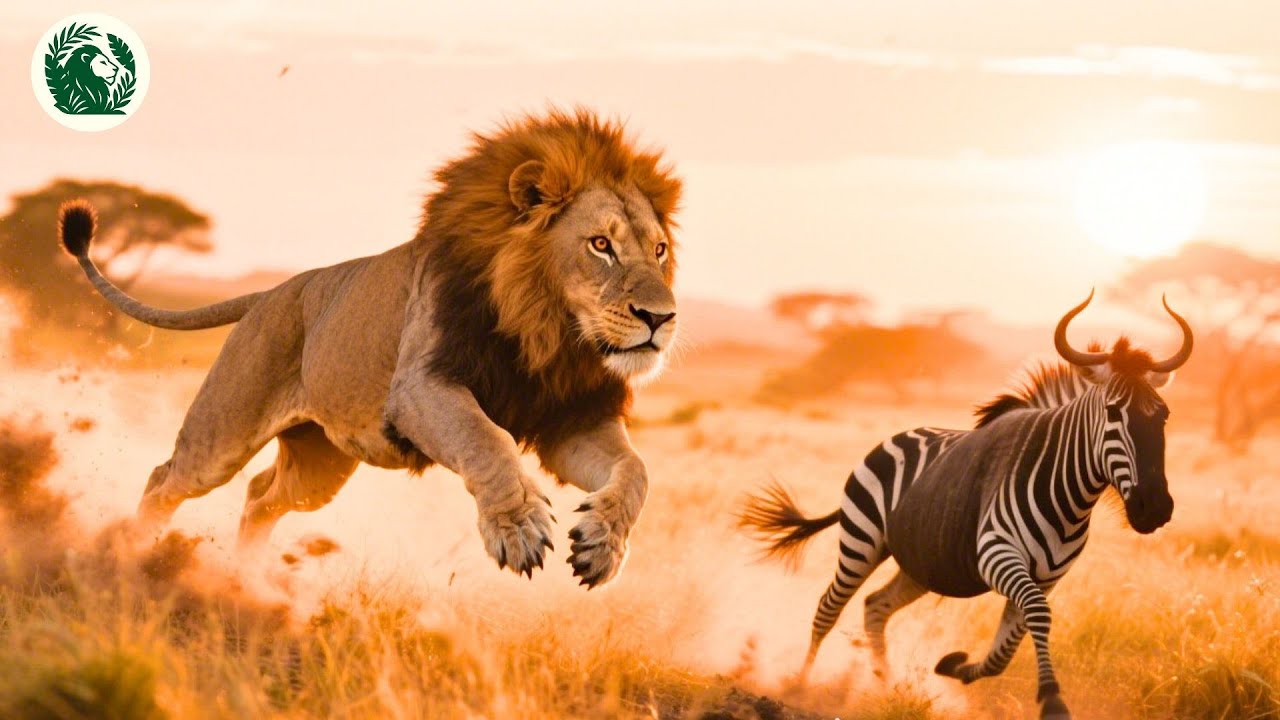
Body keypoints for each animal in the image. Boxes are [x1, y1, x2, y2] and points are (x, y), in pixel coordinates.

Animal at [59, 109, 683, 587]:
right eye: (600, 245)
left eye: (658, 250)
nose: (661, 318)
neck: (548, 335)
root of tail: (267, 293)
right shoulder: (421, 387)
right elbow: (487, 440)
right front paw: (518, 528)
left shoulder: (568, 421)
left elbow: (637, 471)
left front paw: (602, 543)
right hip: (222, 436)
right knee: (165, 477)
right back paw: (129, 554)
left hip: (318, 464)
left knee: (261, 496)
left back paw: (245, 578)